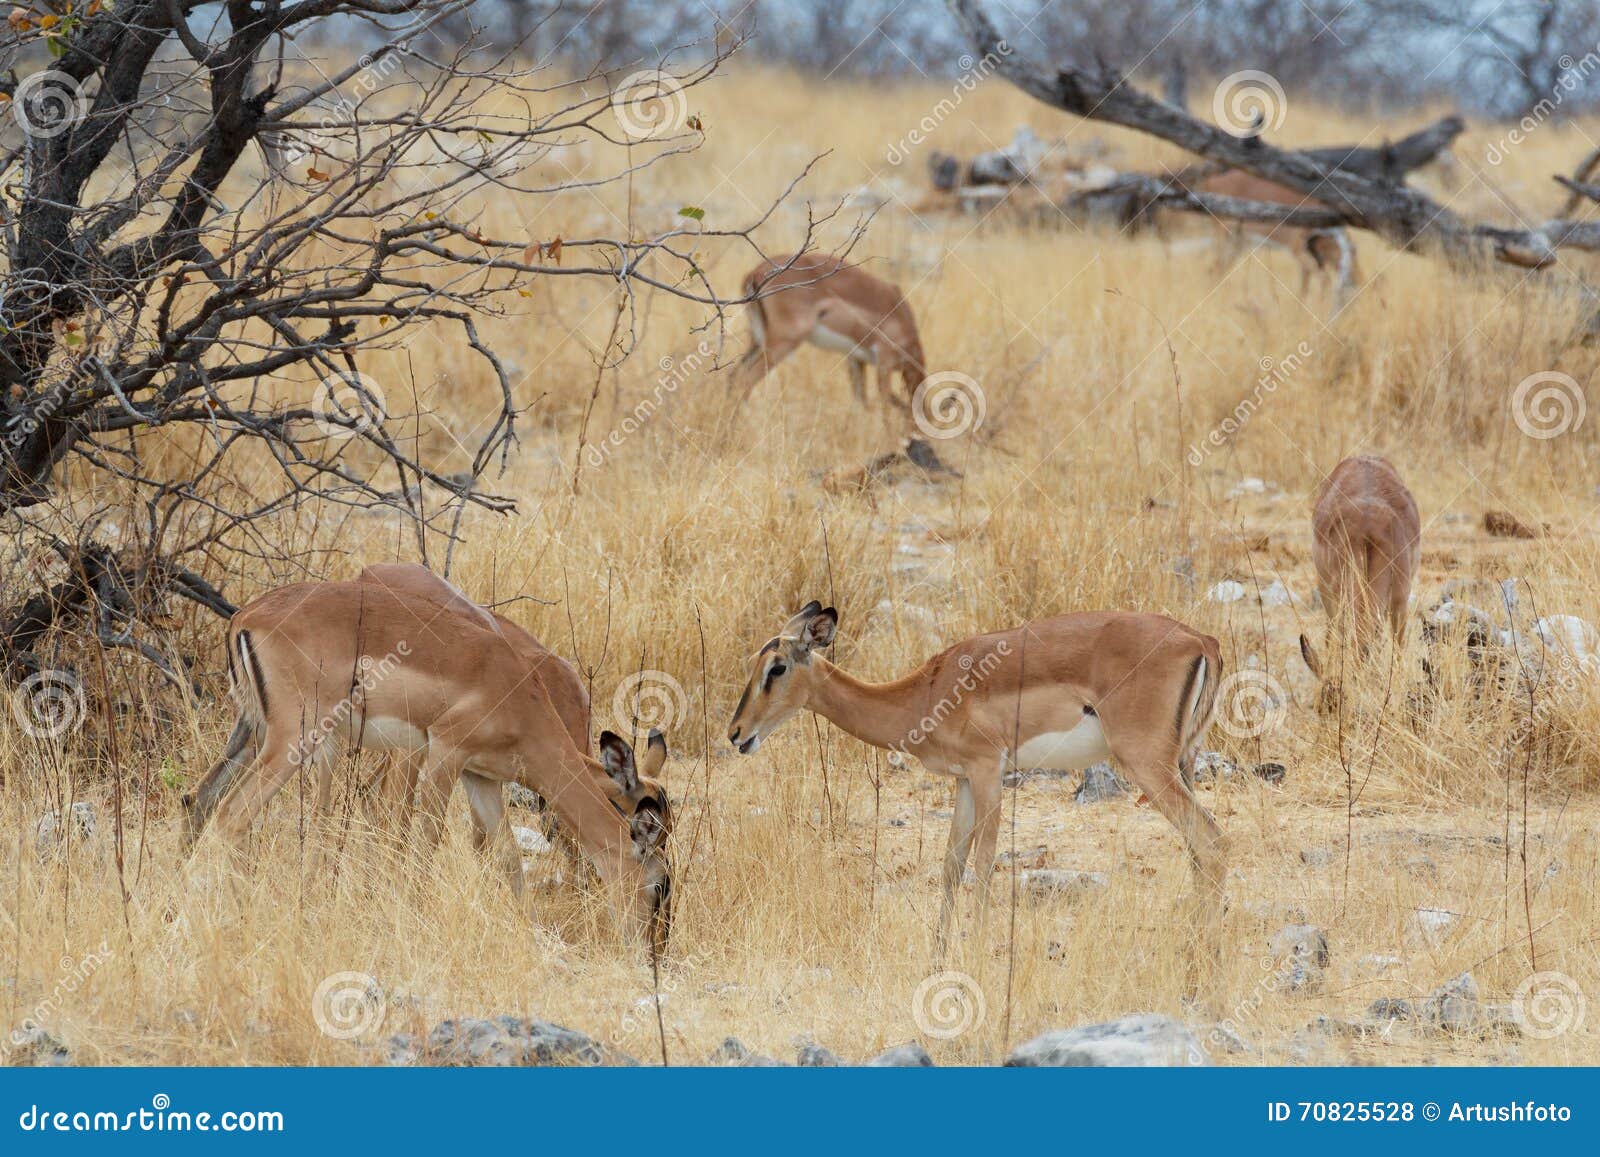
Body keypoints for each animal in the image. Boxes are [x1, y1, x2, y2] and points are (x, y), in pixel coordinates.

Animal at [181, 578, 671, 950]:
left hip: (254, 731)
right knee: (233, 814)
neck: (520, 692)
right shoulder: (444, 755)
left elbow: (508, 857)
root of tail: (246, 617)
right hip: (295, 740)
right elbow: (425, 844)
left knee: (200, 800)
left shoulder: (481, 777)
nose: (652, 954)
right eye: (659, 885)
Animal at [727, 602, 1226, 954]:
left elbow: (984, 865)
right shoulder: (964, 781)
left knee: (1211, 839)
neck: (928, 692)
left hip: (1147, 765)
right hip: (1182, 763)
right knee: (1198, 850)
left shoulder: (988, 771)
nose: (736, 734)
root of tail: (1202, 641)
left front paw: (976, 953)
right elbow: (952, 865)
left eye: (776, 667)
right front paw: (938, 955)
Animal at [731, 252, 927, 409]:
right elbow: (886, 409)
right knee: (744, 381)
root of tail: (754, 273)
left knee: (732, 376)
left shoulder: (856, 360)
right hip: (783, 342)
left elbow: (860, 404)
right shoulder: (884, 362)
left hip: (757, 340)